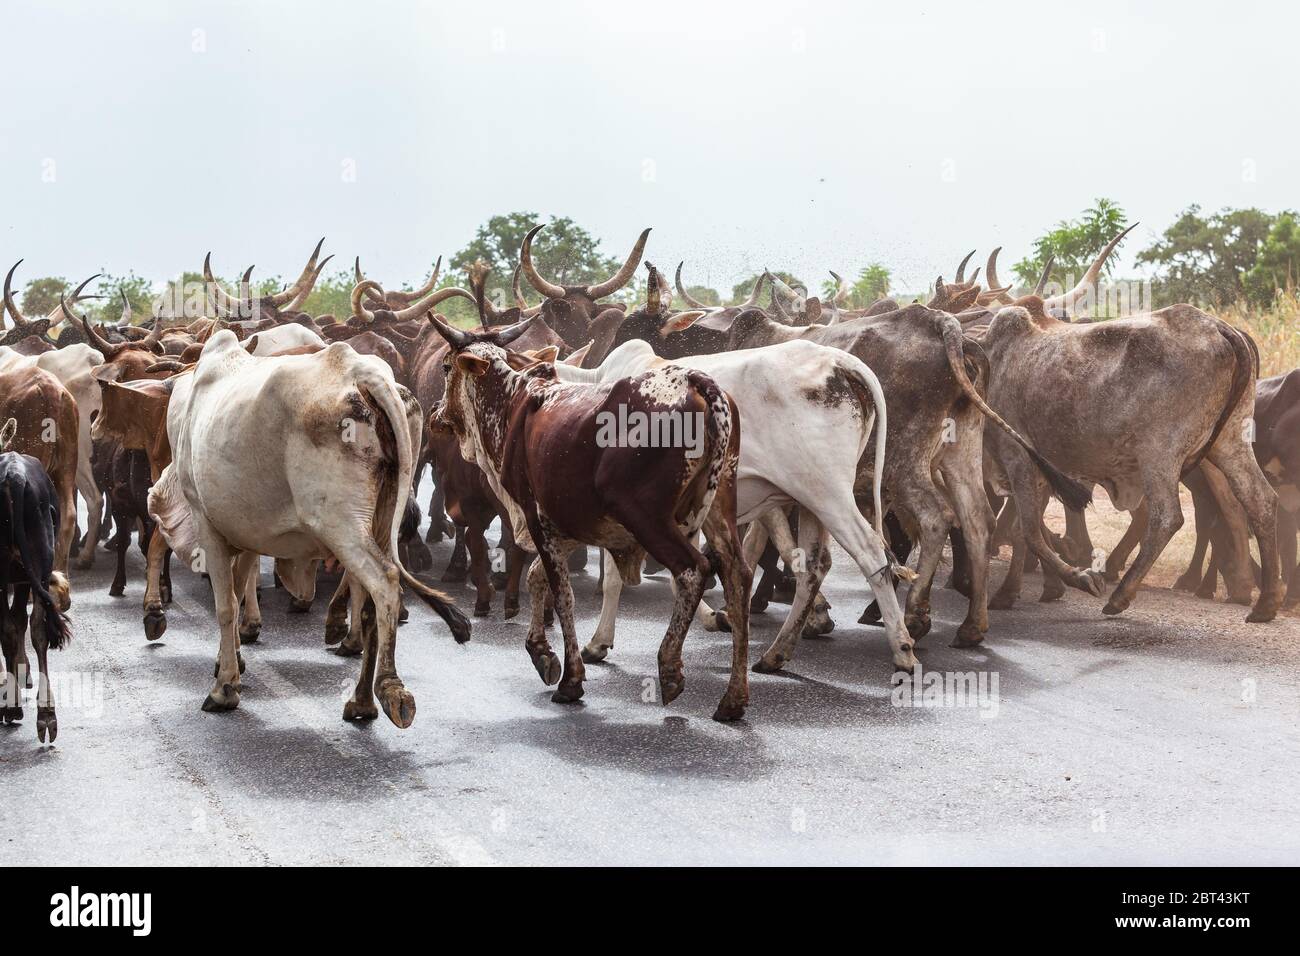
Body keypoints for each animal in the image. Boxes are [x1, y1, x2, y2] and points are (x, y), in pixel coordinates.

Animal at [150, 330, 469, 725]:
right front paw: (234, 658)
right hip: (378, 520)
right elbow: (239, 592)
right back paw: (361, 700)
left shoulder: (208, 524)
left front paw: (224, 687)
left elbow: (226, 606)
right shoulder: (246, 528)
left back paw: (389, 688)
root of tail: (363, 373)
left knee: (386, 582)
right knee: (368, 602)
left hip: (341, 524)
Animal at [432, 274, 752, 721]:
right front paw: (542, 654)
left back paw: (670, 668)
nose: (435, 415)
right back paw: (733, 697)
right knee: (738, 577)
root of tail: (696, 382)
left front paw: (570, 679)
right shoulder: (569, 523)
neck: (512, 401)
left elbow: (561, 592)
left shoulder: (538, 518)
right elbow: (536, 577)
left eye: (447, 367)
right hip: (719, 505)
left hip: (645, 515)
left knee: (693, 571)